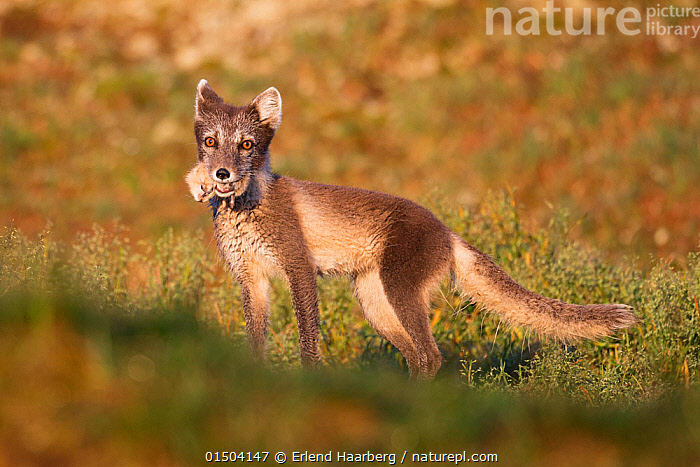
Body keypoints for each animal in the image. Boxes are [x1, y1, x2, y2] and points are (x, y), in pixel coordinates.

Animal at [186, 80, 636, 379]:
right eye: (210, 142)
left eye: (246, 145)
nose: (222, 174)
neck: (247, 211)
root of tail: (447, 231)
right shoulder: (251, 277)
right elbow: (255, 339)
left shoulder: (298, 268)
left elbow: (307, 338)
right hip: (376, 305)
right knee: (418, 357)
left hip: (399, 292)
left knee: (432, 356)